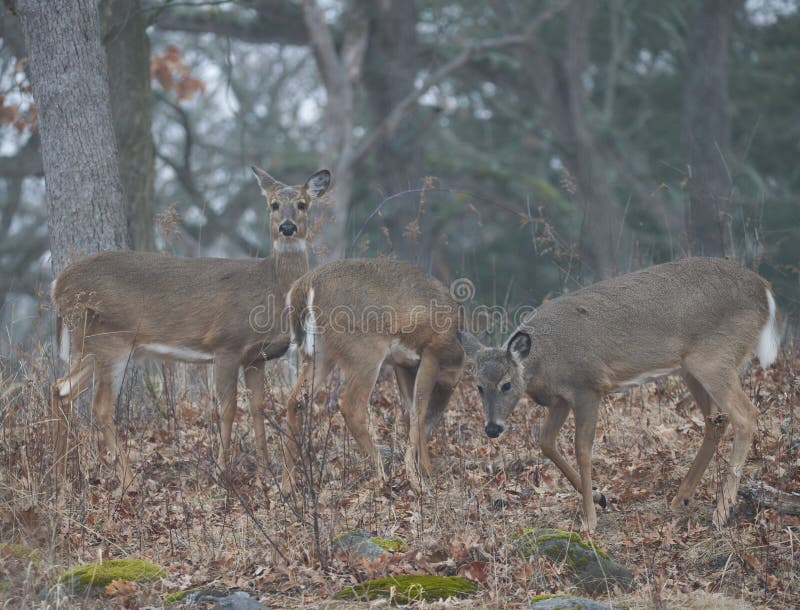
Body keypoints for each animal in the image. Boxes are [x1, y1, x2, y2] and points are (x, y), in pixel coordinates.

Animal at [50, 166, 331, 489]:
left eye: (302, 204)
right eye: (273, 204)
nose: (287, 227)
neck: (270, 287)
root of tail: (57, 286)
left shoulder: (256, 357)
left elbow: (258, 408)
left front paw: (264, 471)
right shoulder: (226, 345)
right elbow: (228, 408)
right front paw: (222, 472)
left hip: (91, 346)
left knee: (61, 389)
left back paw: (60, 475)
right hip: (110, 341)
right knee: (100, 406)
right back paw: (129, 481)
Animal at [282, 258, 465, 492]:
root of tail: (305, 286)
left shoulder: (401, 363)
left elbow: (411, 412)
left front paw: (422, 470)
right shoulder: (431, 352)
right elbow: (419, 411)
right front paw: (420, 476)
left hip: (318, 354)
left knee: (295, 401)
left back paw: (287, 485)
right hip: (365, 352)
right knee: (350, 406)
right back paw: (381, 473)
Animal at [459, 257, 781, 530]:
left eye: (506, 384)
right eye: (478, 386)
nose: (492, 428)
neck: (545, 360)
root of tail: (765, 290)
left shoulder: (587, 387)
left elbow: (582, 450)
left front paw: (589, 520)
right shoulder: (561, 399)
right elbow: (546, 442)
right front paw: (599, 496)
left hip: (714, 360)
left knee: (745, 415)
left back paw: (722, 511)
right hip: (692, 370)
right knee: (716, 420)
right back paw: (682, 499)